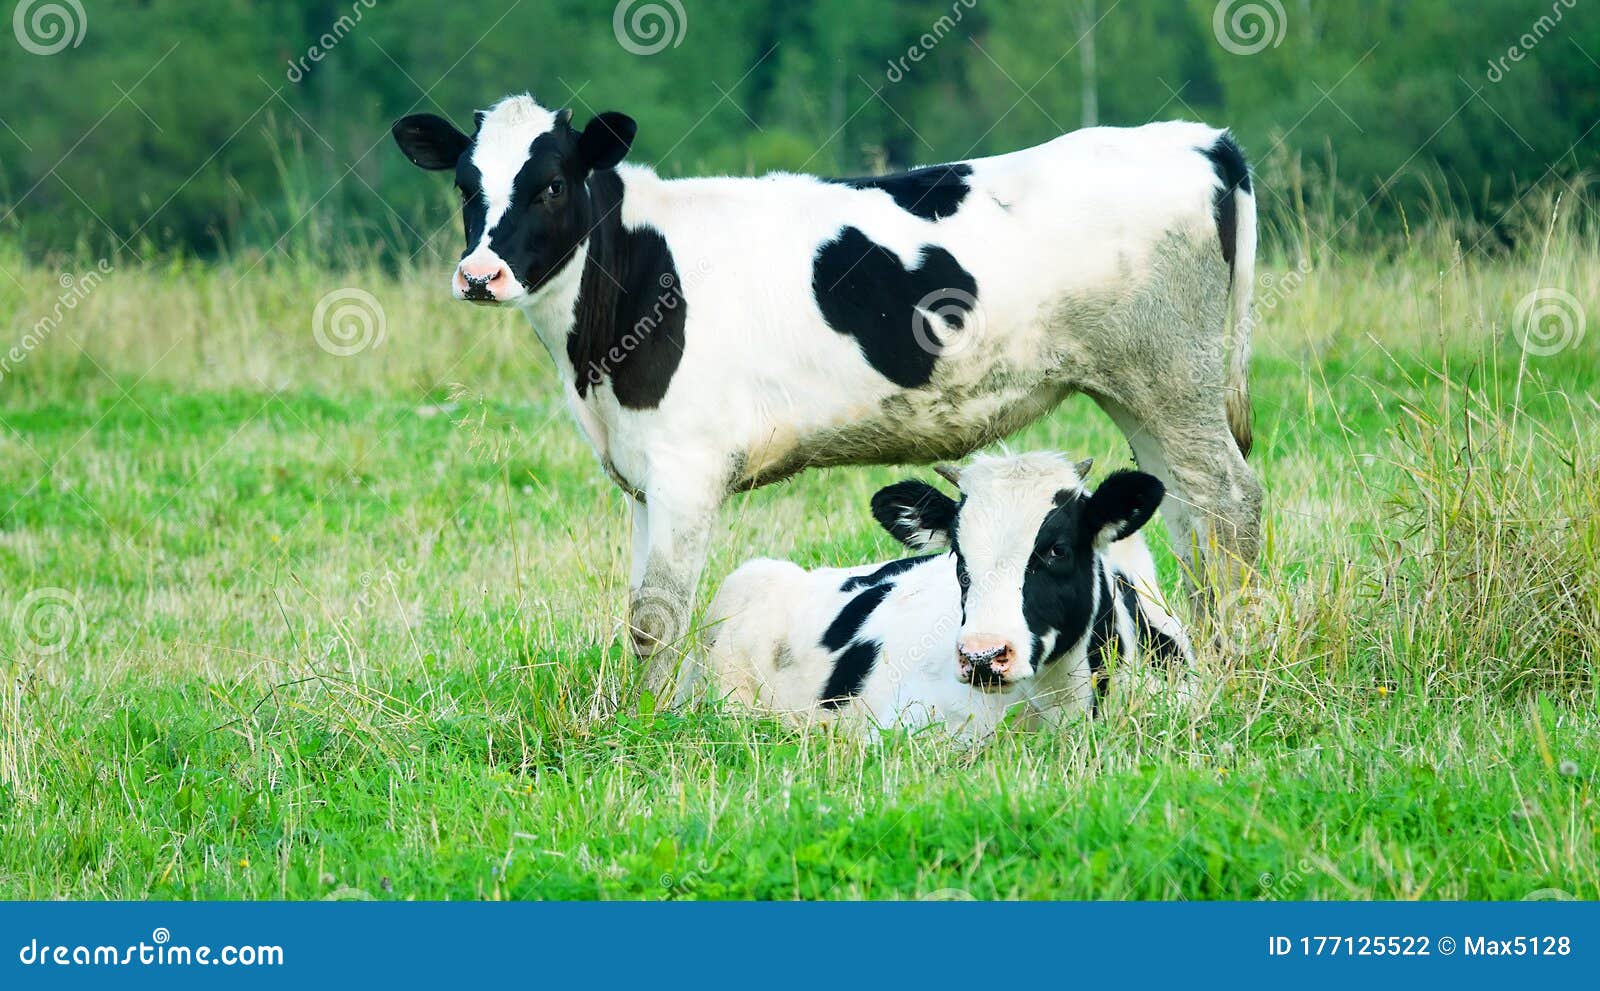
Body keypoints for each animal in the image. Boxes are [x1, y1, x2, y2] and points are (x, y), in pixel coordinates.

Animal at [392, 94, 1262, 691]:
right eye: (466, 186)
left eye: (550, 184)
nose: (480, 274)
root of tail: (1195, 138)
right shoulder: (642, 474)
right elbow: (646, 605)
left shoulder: (686, 468)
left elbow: (653, 616)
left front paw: (639, 724)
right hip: (1144, 390)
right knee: (1189, 518)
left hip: (1169, 376)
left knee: (1229, 505)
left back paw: (1240, 653)